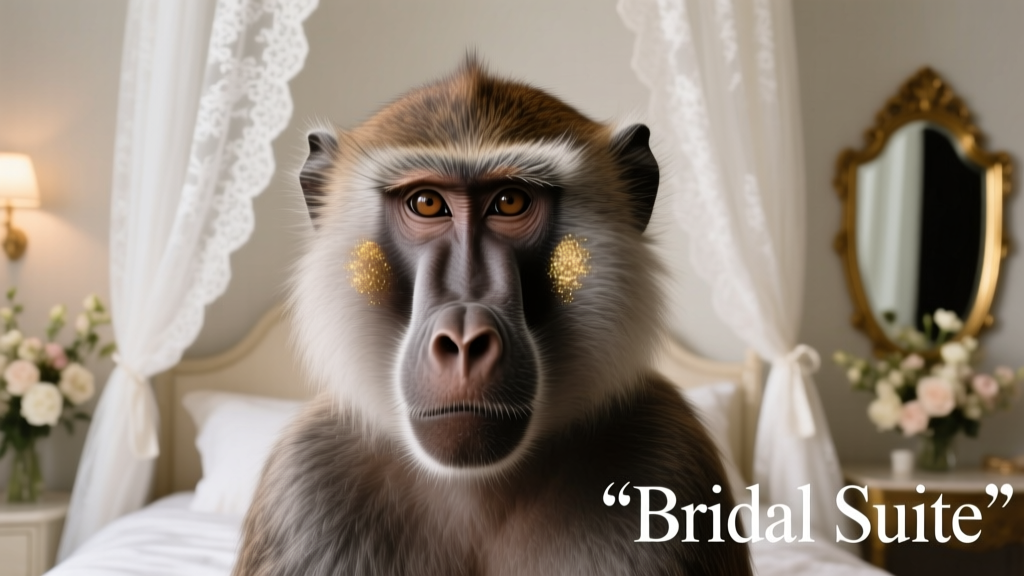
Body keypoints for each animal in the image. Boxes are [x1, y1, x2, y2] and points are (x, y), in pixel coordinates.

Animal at [235, 58, 752, 576]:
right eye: (427, 203)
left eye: (509, 201)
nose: (465, 337)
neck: (480, 487)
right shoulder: (305, 481)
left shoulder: (670, 460)